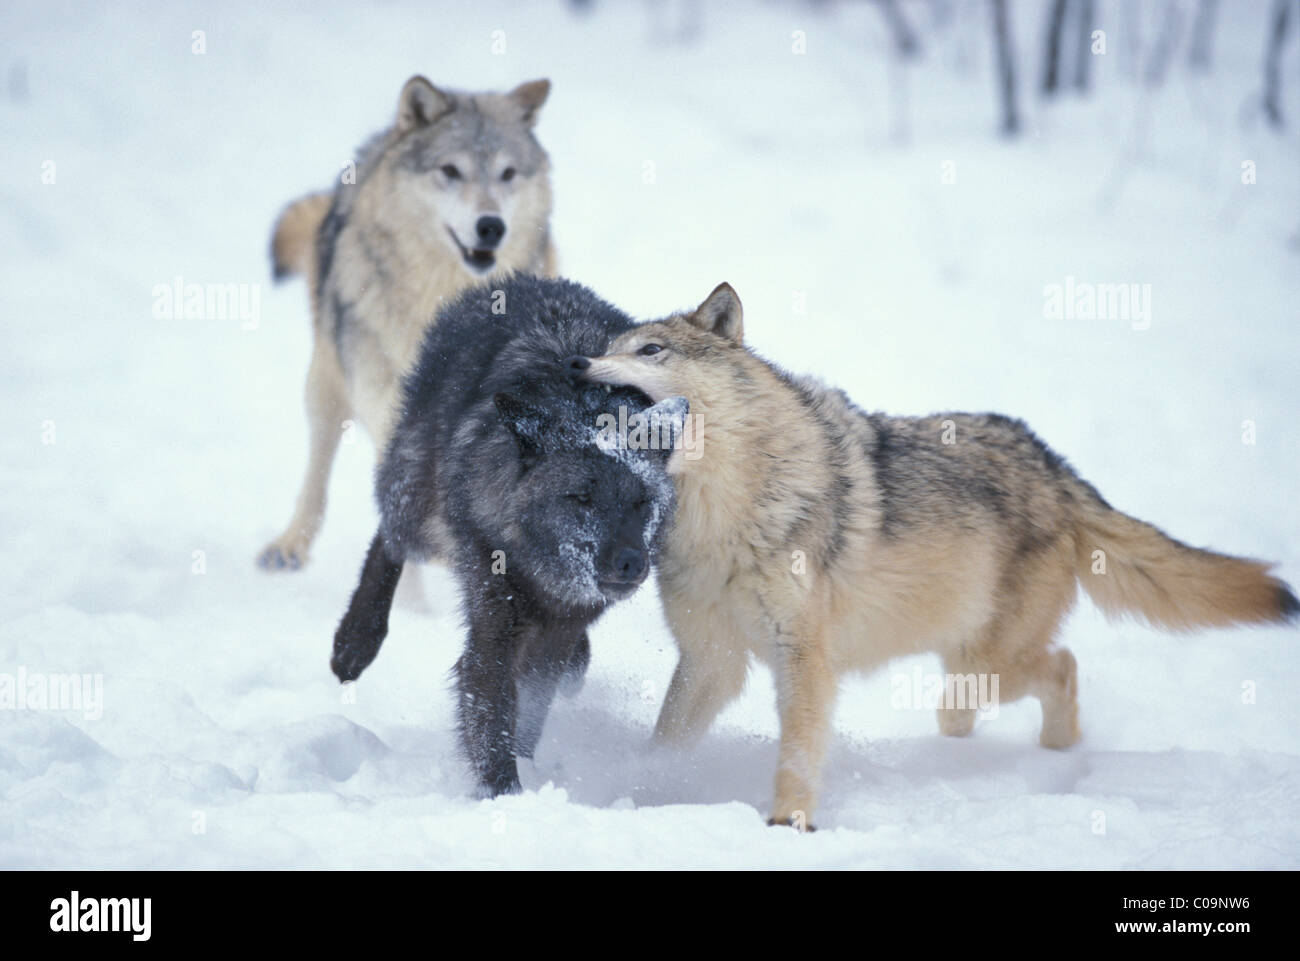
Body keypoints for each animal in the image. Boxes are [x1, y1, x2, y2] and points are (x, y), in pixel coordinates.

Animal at [259, 75, 557, 570]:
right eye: (450, 170)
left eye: (507, 173)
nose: (491, 226)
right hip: (325, 386)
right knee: (317, 472)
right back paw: (288, 546)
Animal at [330, 276, 685, 797]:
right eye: (581, 497)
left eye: (642, 501)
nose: (630, 562)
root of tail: (520, 280)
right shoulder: (493, 621)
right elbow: (491, 710)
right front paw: (504, 796)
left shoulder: (557, 633)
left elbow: (531, 710)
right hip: (419, 503)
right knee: (389, 538)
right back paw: (354, 643)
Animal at [572, 282, 1299, 829]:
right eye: (606, 350)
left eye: (650, 350)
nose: (578, 367)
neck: (723, 517)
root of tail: (1052, 463)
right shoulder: (712, 659)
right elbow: (666, 740)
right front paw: (643, 794)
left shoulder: (804, 657)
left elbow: (798, 753)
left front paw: (789, 825)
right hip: (966, 663)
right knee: (984, 699)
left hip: (988, 662)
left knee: (1064, 666)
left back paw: (1056, 756)